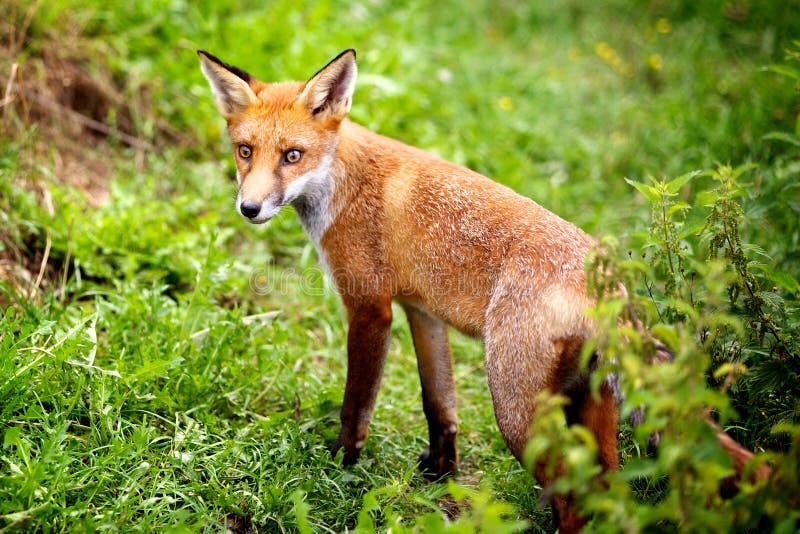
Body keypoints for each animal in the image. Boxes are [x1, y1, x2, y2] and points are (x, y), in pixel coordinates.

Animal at [197, 49, 767, 532]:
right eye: (245, 152)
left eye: (292, 155)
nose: (249, 208)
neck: (343, 182)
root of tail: (605, 280)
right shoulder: (420, 311)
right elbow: (439, 404)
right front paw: (440, 474)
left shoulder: (370, 309)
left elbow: (355, 409)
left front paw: (340, 468)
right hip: (589, 406)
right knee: (607, 488)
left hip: (515, 413)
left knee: (574, 496)